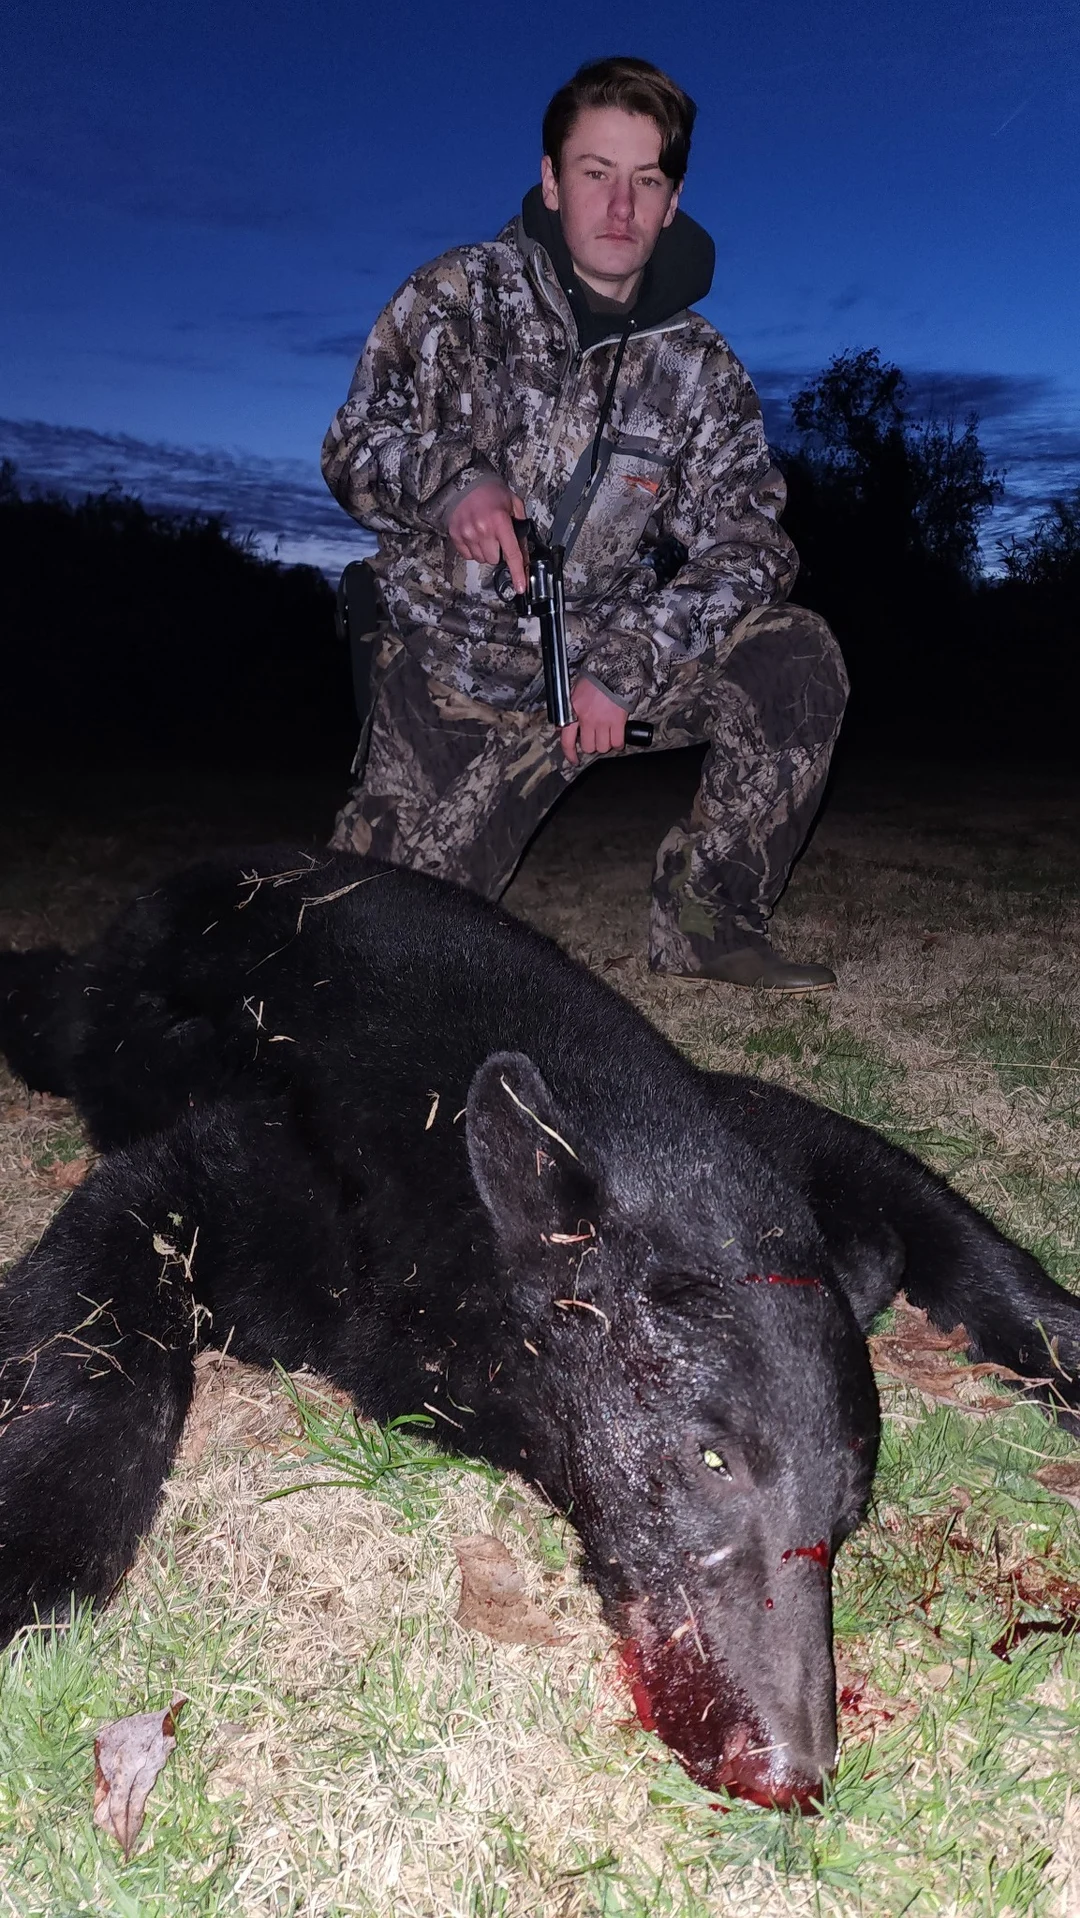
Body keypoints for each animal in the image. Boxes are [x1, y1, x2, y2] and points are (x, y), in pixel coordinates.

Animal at [2, 845, 1079, 1813]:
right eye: (714, 1460)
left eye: (848, 1514)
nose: (788, 1767)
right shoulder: (302, 1183)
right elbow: (118, 1263)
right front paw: (31, 1567)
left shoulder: (747, 1134)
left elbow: (936, 1210)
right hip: (104, 999)